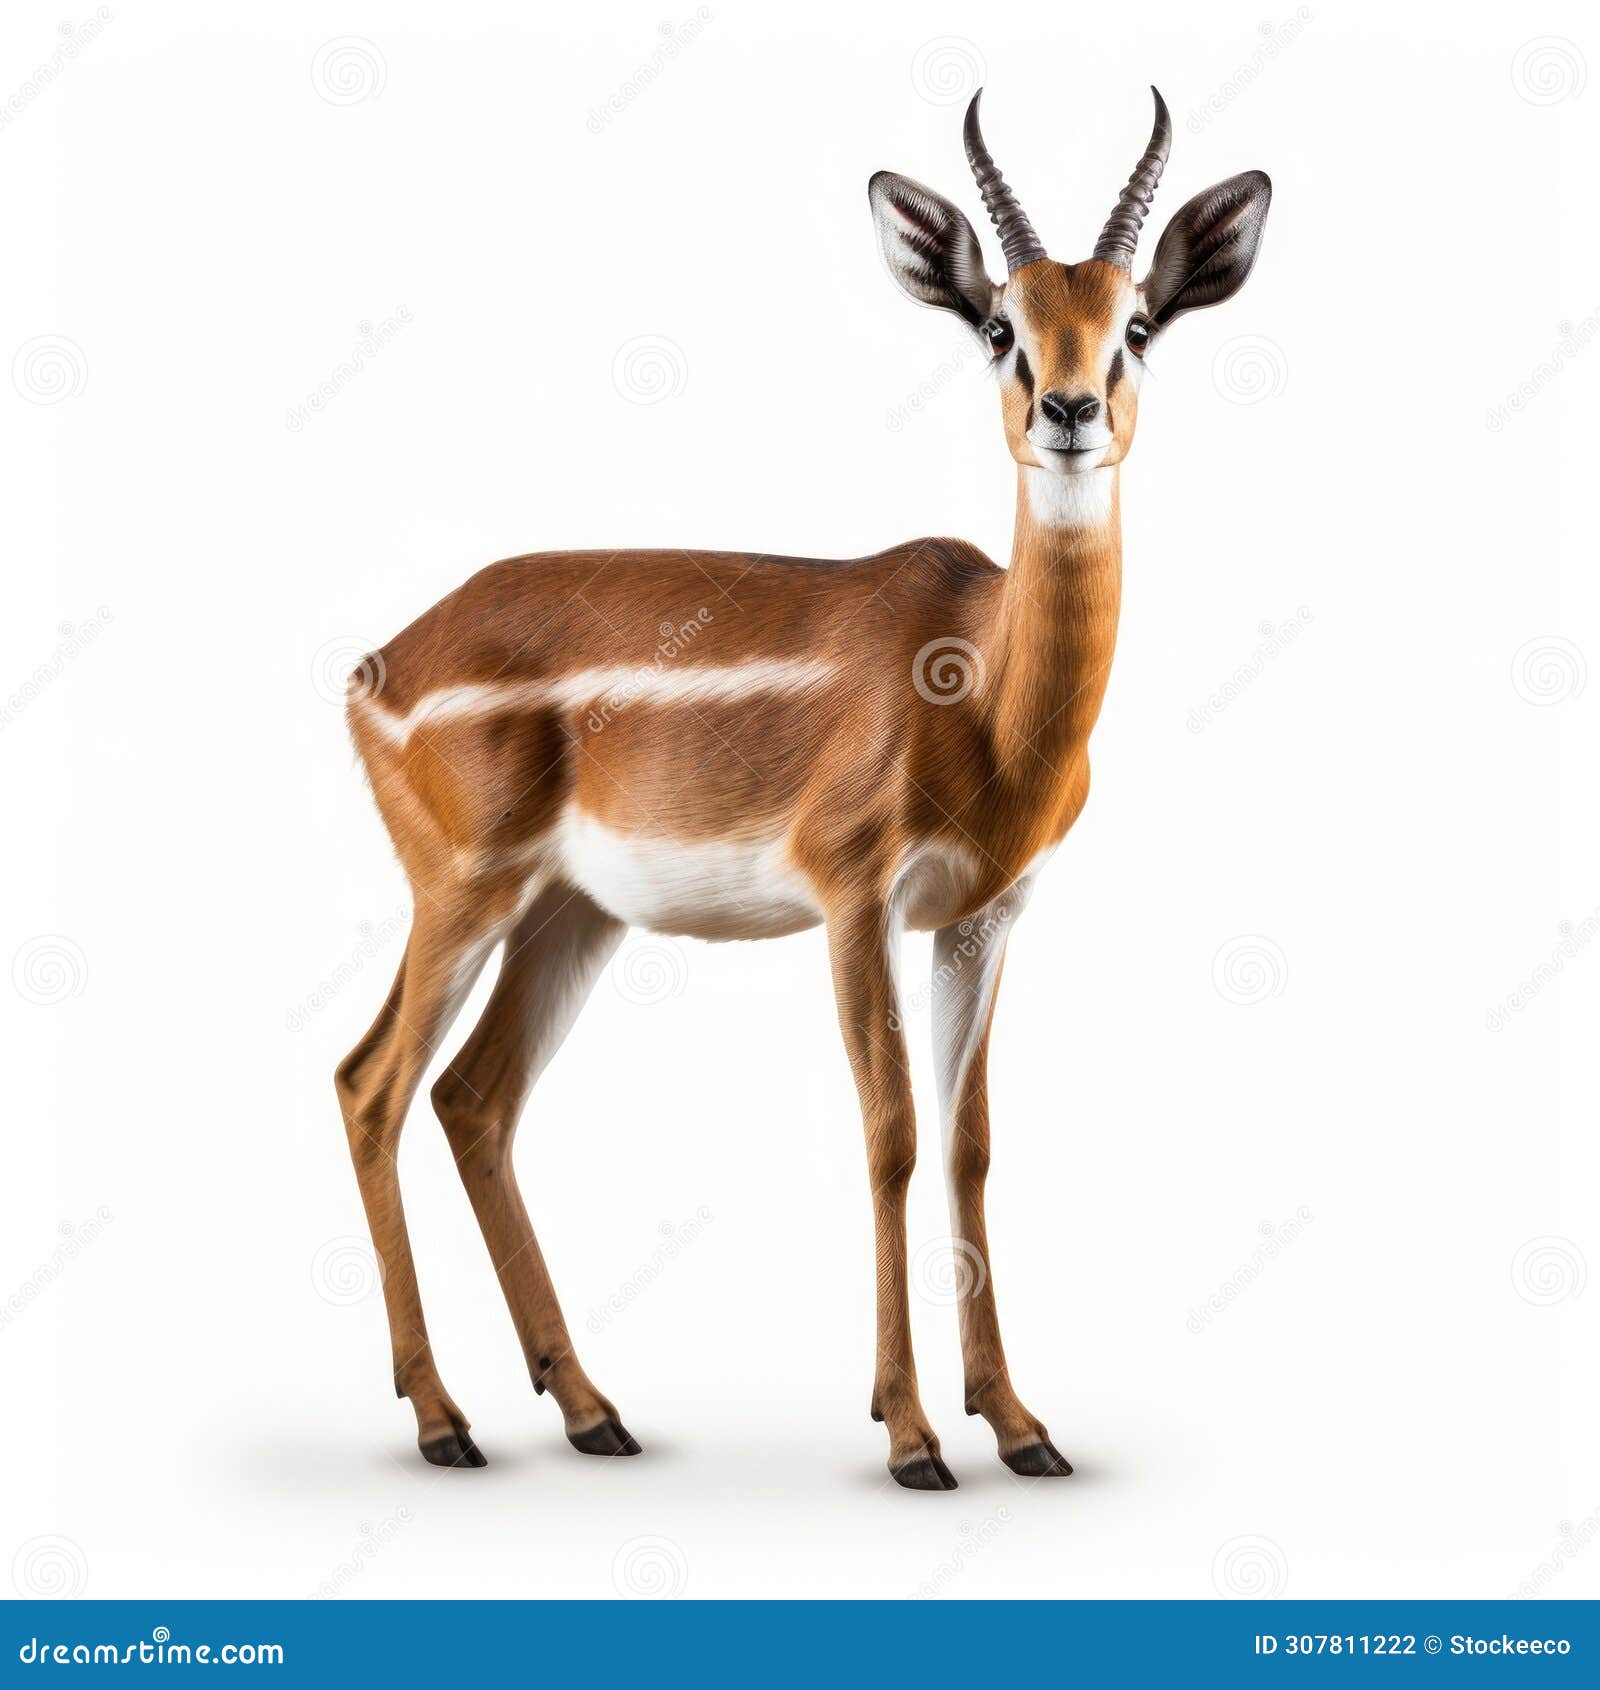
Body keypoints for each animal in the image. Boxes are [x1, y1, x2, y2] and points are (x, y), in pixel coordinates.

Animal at [336, 88, 1271, 1489]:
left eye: (1137, 324)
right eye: (999, 324)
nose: (1067, 410)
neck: (982, 688)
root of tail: (378, 661)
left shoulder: (984, 917)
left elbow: (971, 1143)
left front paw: (1021, 1424)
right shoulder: (852, 898)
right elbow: (890, 1135)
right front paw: (912, 1434)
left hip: (570, 915)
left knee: (472, 1098)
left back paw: (592, 1410)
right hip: (463, 892)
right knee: (373, 1085)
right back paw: (445, 1422)